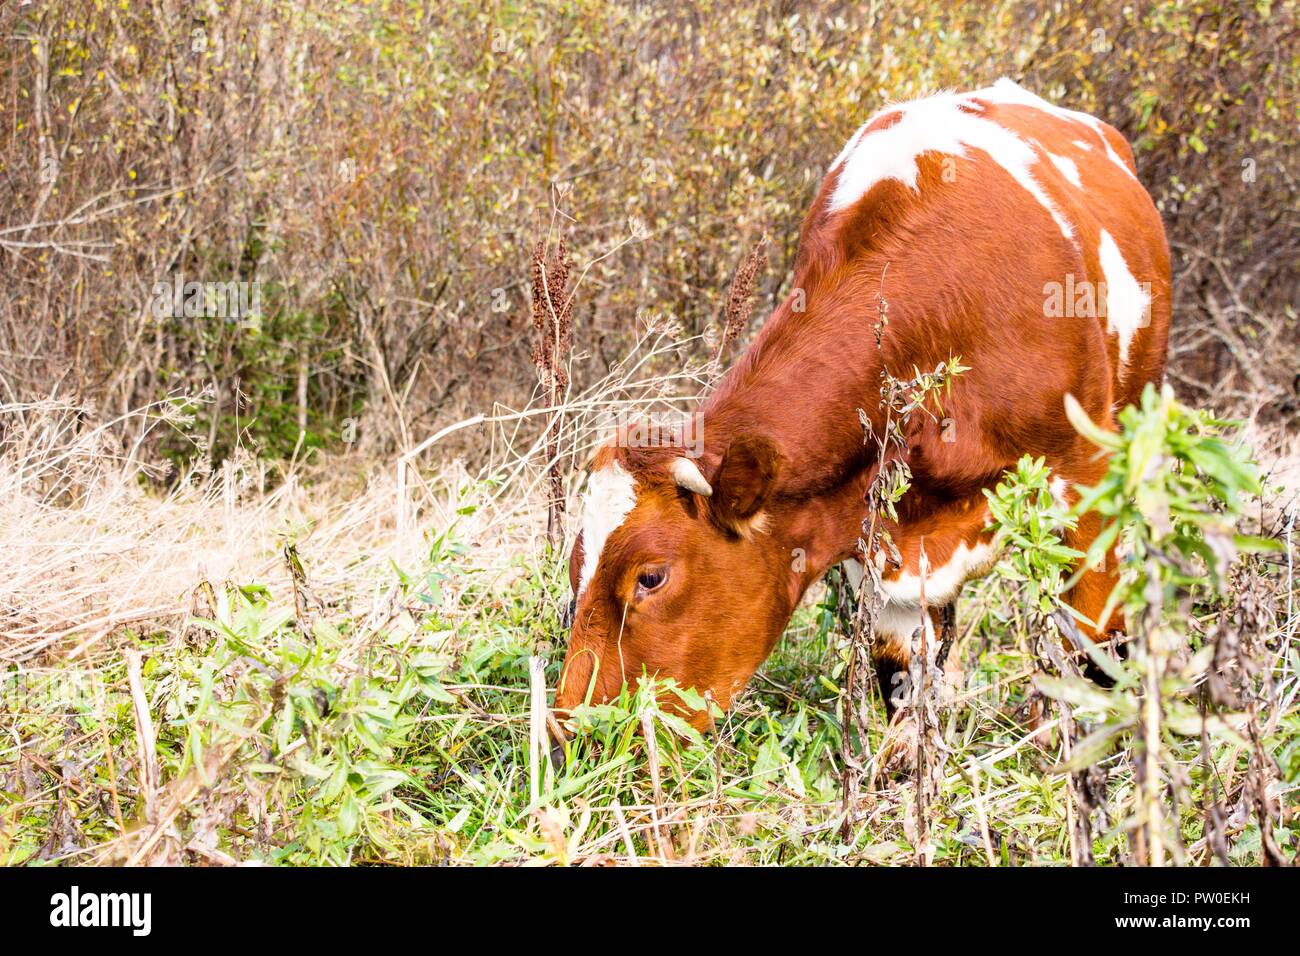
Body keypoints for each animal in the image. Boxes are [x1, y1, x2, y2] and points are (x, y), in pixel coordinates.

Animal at [554, 79, 1171, 734]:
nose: (574, 732)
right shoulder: (870, 533)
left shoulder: (1087, 480)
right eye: (574, 566)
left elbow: (1095, 651)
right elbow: (902, 678)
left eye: (651, 576)